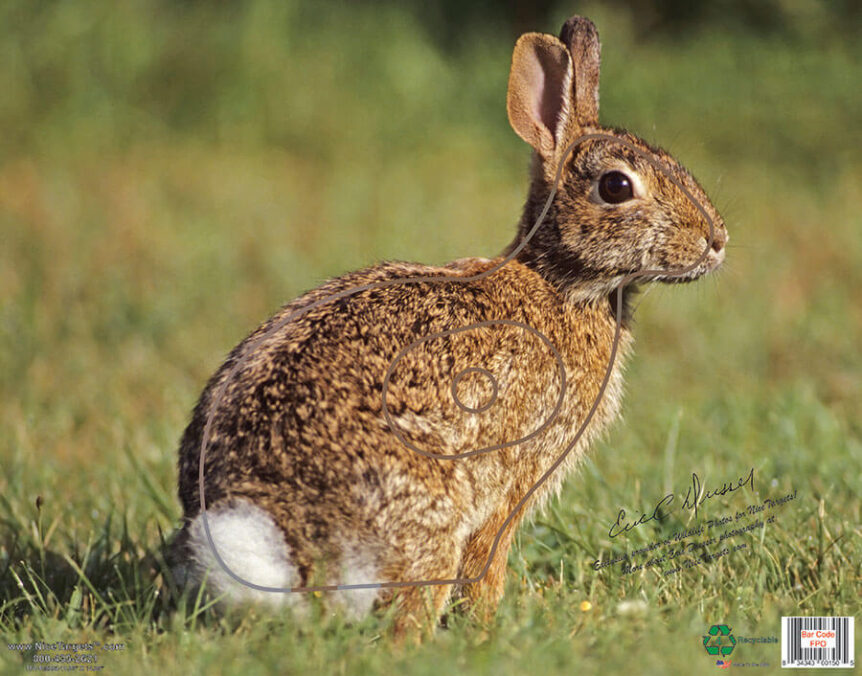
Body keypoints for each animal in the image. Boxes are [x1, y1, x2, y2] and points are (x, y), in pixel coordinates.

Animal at [170, 15, 728, 637]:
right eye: (616, 186)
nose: (717, 241)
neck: (560, 284)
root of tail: (282, 539)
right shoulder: (514, 478)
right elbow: (487, 562)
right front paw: (488, 626)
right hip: (431, 512)